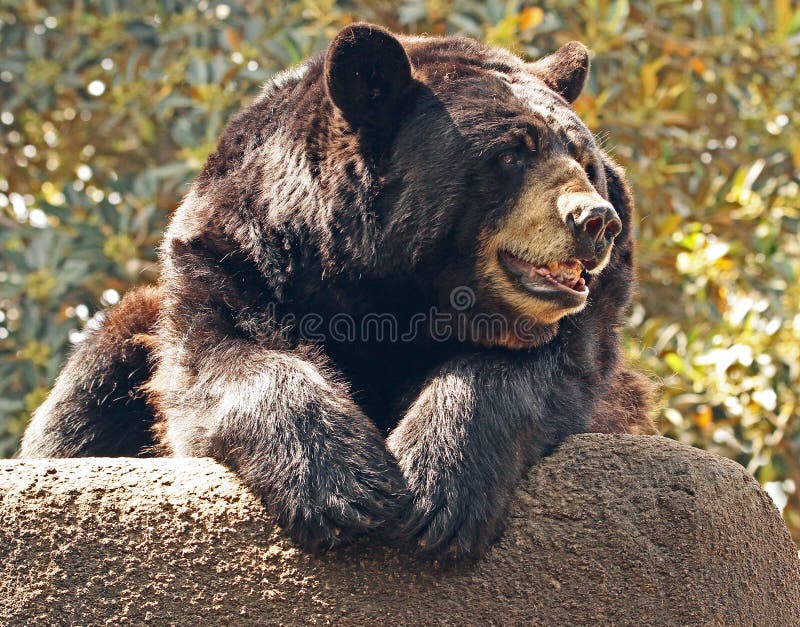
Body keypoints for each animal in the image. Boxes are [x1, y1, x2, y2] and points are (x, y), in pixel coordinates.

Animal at [20, 23, 655, 559]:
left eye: (587, 162)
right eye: (511, 153)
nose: (595, 220)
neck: (398, 291)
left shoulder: (585, 325)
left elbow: (539, 368)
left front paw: (437, 488)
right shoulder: (240, 254)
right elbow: (221, 355)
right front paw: (343, 485)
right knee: (86, 392)